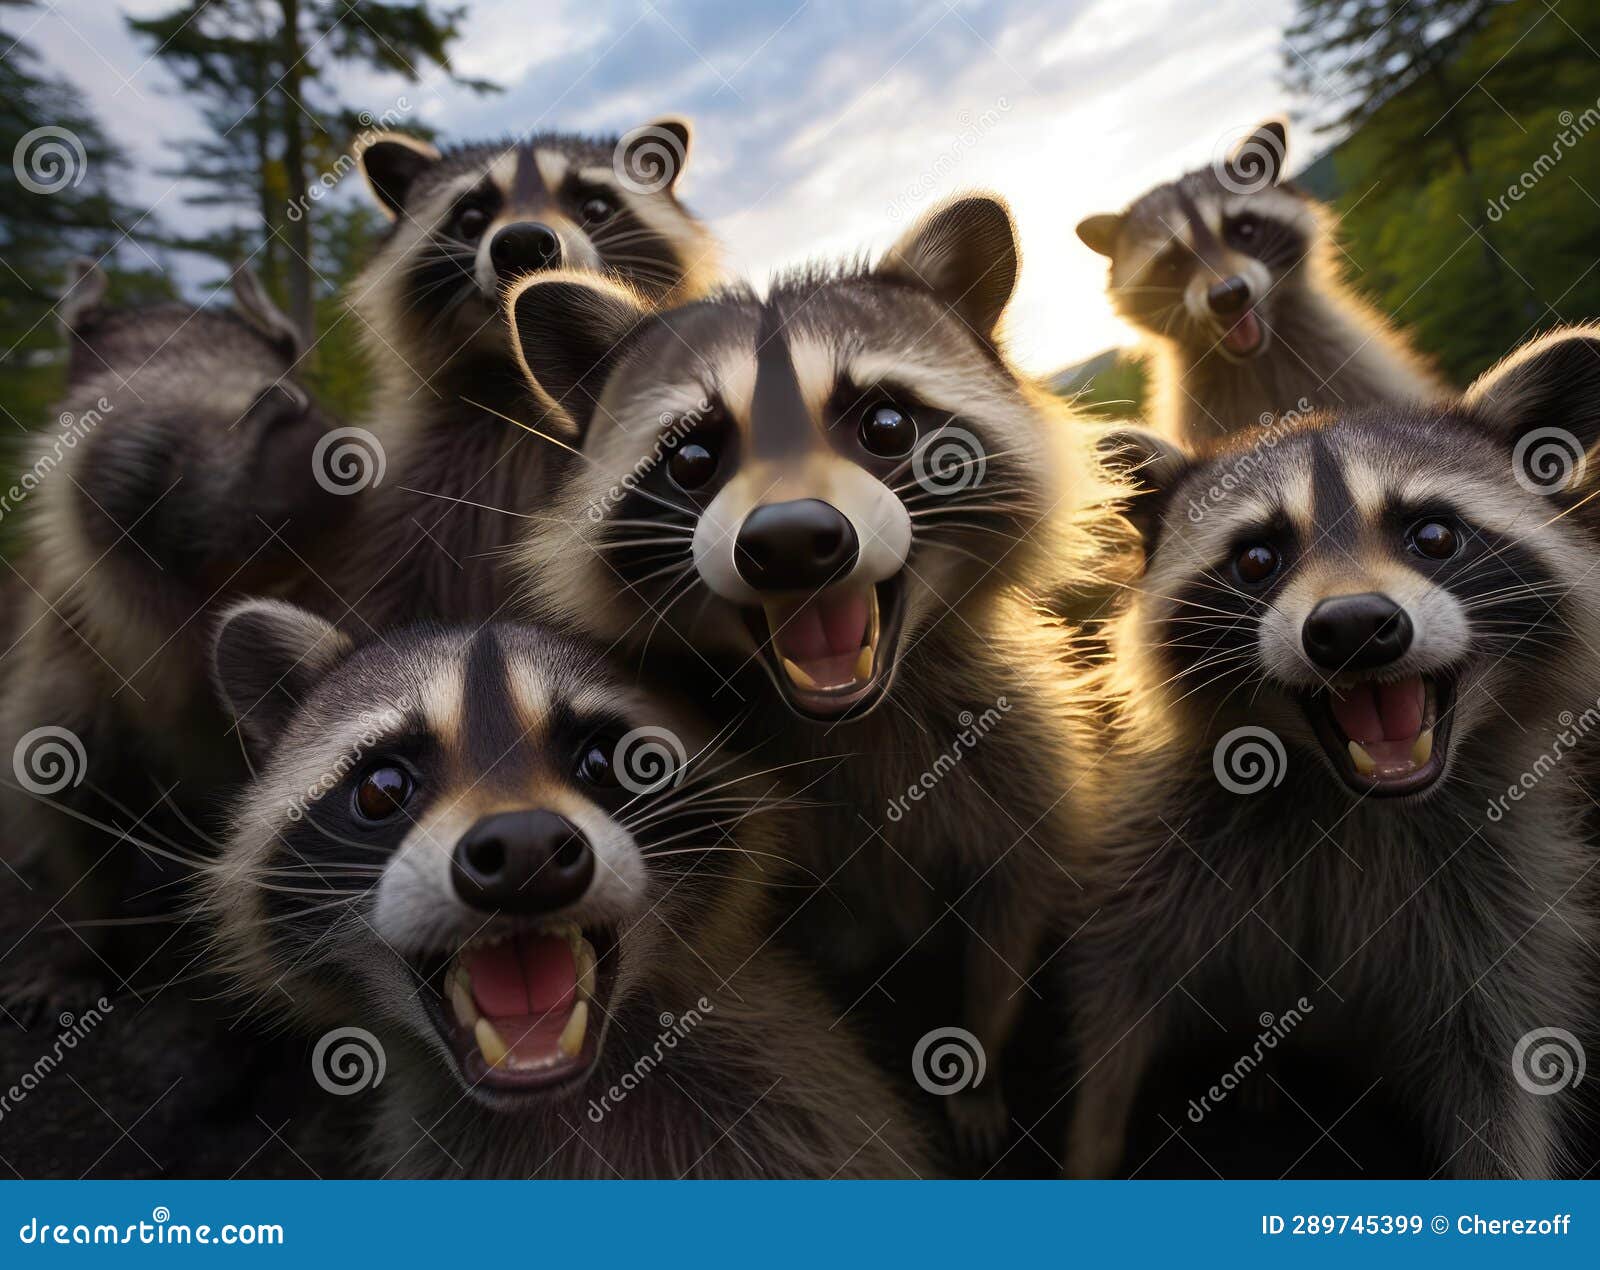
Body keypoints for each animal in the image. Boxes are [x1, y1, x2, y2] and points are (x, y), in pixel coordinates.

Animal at [500, 194, 1114, 1160]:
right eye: (693, 458)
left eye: (886, 427)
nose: (791, 542)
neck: (855, 715)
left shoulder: (1022, 761)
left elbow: (1007, 926)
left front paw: (977, 1059)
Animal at [1062, 327, 1600, 1178]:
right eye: (1257, 559)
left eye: (1433, 536)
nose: (1353, 627)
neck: (1348, 800)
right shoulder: (1151, 863)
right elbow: (1112, 1018)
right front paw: (1092, 1143)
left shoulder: (1508, 902)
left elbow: (1501, 1081)